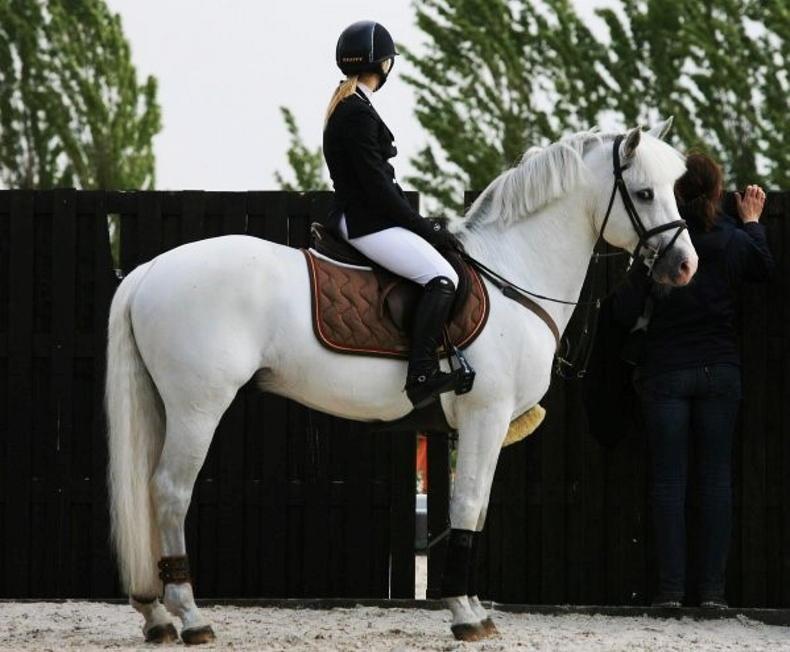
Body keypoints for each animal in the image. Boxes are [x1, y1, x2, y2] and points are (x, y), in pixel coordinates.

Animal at [105, 119, 698, 644]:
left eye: (674, 189)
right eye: (644, 193)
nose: (685, 267)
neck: (512, 275)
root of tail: (149, 271)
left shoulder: (483, 426)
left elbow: (475, 510)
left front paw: (475, 608)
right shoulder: (484, 415)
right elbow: (467, 506)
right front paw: (464, 614)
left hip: (165, 406)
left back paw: (155, 616)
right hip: (198, 408)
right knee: (170, 491)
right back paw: (190, 618)